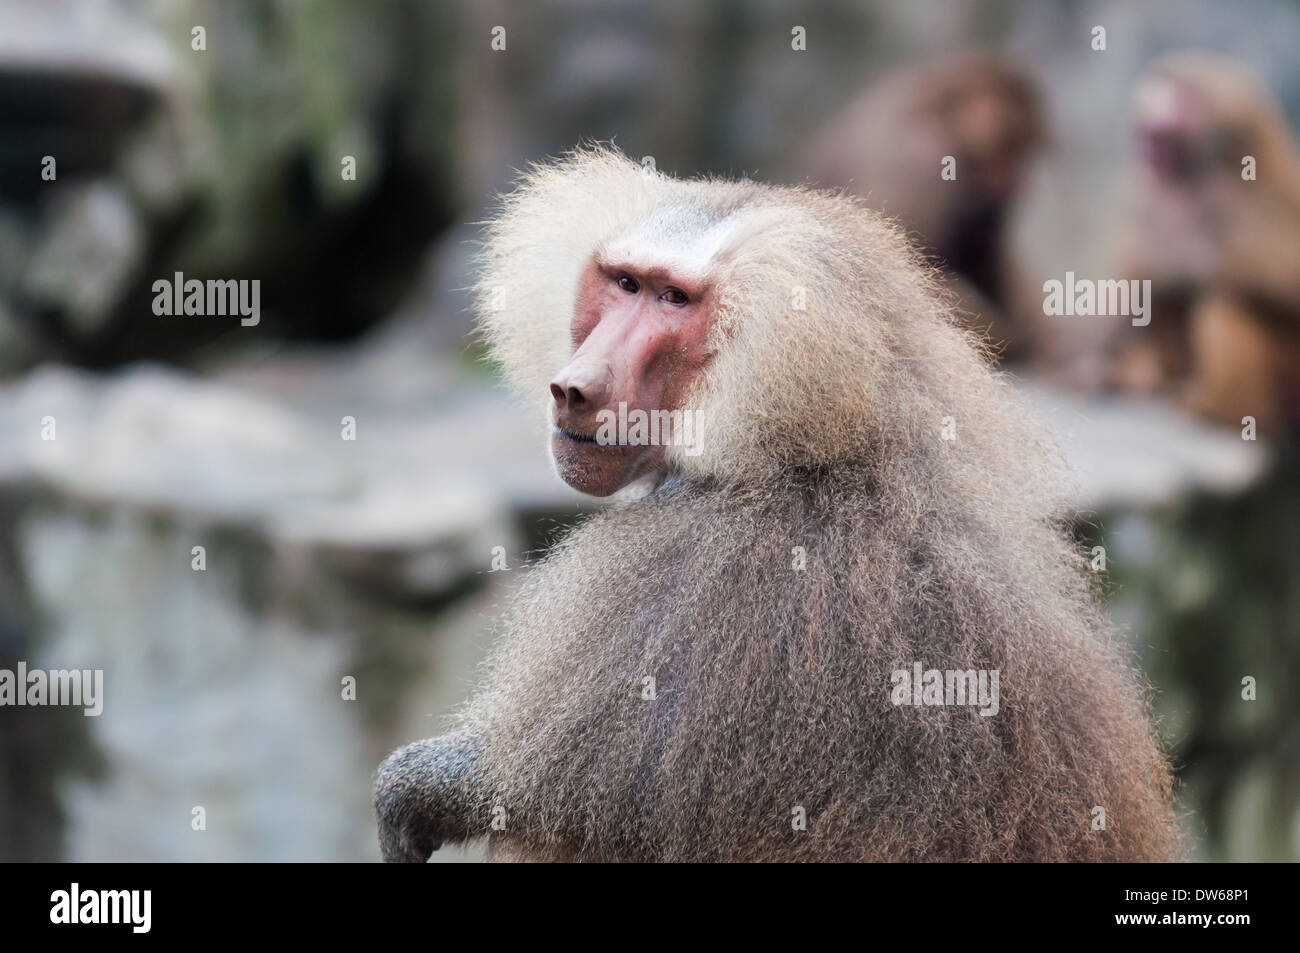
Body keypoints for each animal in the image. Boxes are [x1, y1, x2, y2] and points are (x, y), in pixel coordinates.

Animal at [375, 145, 1180, 862]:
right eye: (624, 283)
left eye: (673, 299)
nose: (576, 388)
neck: (807, 448)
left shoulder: (693, 579)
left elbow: (521, 784)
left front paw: (410, 793)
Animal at [1109, 52, 1300, 433]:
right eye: (1147, 138)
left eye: (1158, 139)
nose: (1147, 150)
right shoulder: (1154, 197)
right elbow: (1144, 279)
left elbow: (1283, 278)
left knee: (1221, 297)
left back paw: (1217, 408)